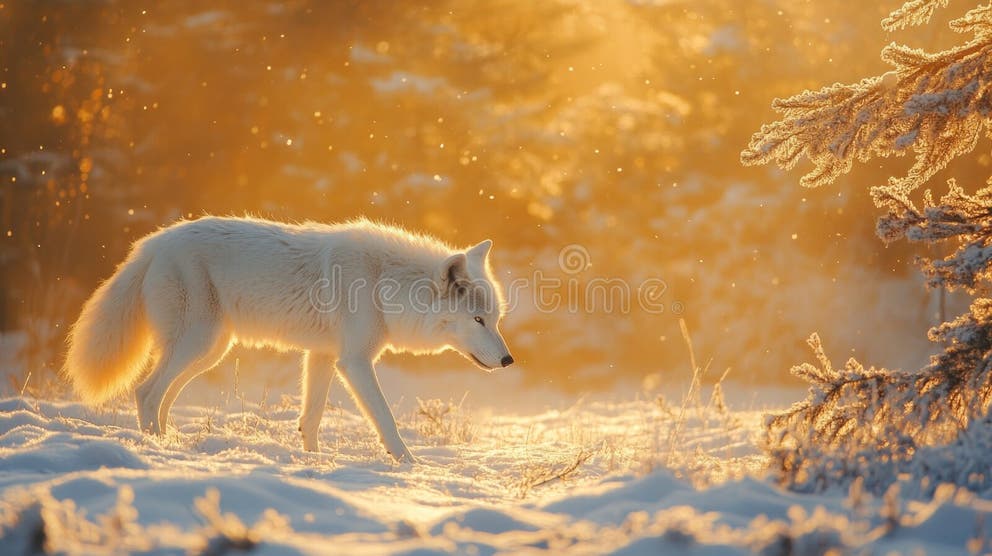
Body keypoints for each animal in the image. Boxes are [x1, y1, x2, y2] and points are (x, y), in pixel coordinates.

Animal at [64, 216, 513, 462]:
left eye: (494, 319)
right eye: (478, 319)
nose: (509, 361)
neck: (383, 283)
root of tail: (150, 244)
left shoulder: (322, 357)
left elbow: (310, 419)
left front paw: (312, 463)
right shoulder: (354, 361)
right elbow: (386, 419)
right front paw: (411, 464)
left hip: (209, 351)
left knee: (161, 396)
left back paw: (170, 442)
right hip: (199, 343)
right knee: (145, 392)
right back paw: (157, 449)